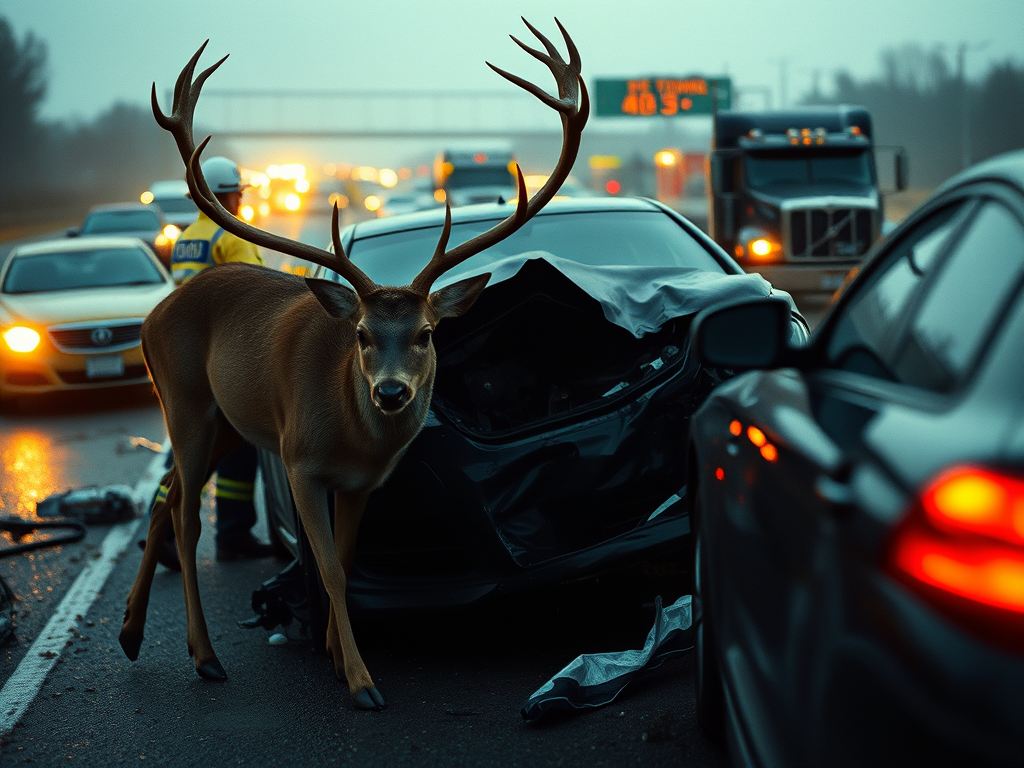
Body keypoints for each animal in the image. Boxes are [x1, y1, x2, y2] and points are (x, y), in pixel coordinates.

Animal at [117, 18, 588, 710]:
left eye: (426, 333)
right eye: (362, 333)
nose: (391, 393)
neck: (350, 433)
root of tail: (153, 316)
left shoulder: (363, 483)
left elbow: (343, 558)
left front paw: (339, 659)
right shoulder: (299, 462)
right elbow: (332, 571)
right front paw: (363, 683)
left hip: (229, 423)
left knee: (164, 501)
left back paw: (130, 635)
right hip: (184, 402)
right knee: (184, 517)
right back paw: (204, 657)